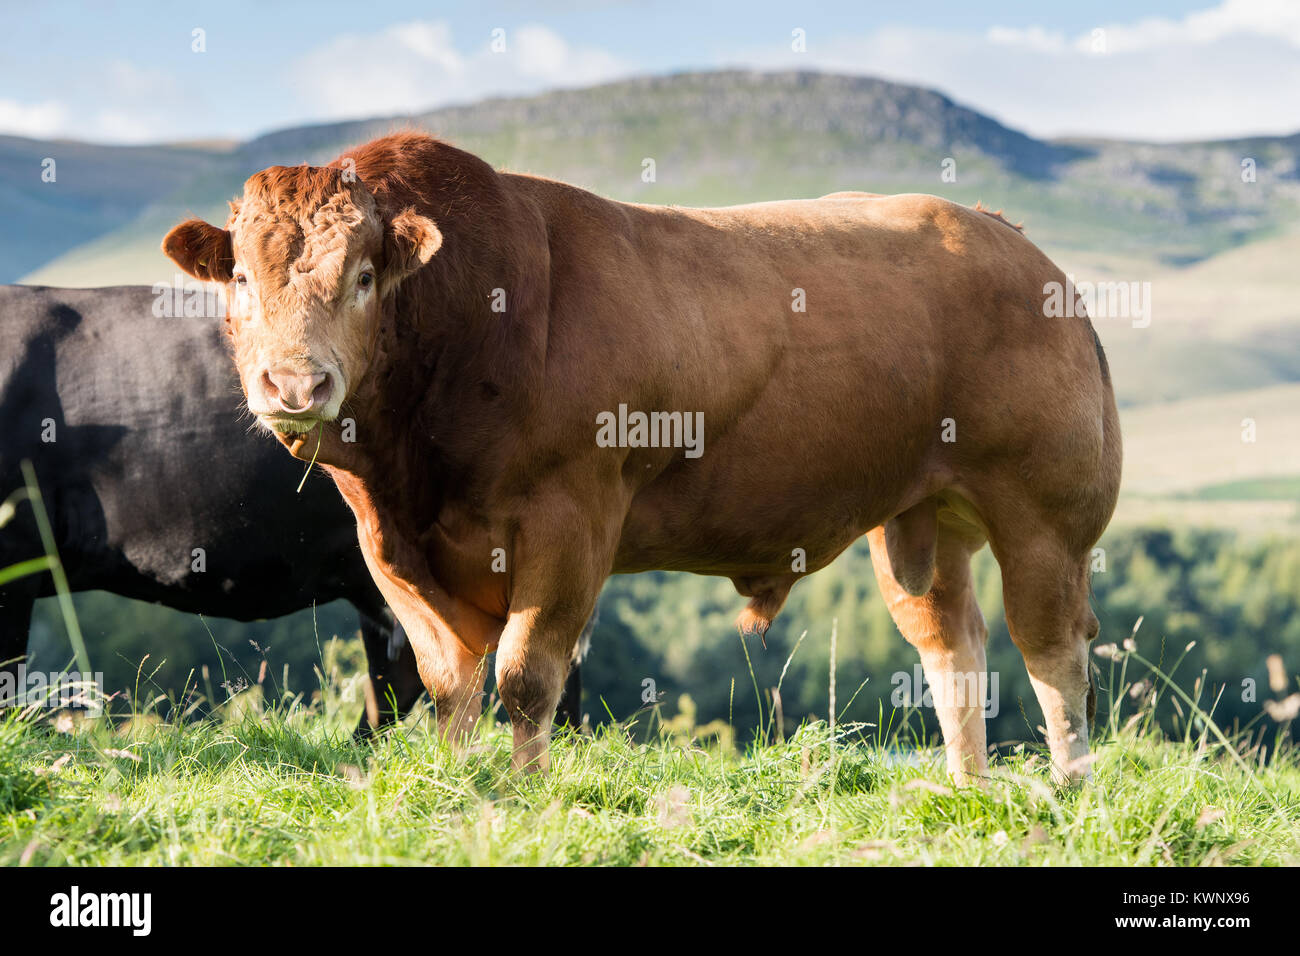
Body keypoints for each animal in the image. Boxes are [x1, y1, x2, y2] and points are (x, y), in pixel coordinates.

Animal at [162, 131, 1121, 784]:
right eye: (241, 277)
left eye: (362, 277)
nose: (294, 384)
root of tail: (1006, 236)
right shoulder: (388, 543)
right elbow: (449, 682)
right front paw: (457, 785)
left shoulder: (570, 521)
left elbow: (526, 676)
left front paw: (525, 794)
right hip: (920, 517)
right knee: (952, 645)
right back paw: (967, 788)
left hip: (1047, 515)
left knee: (1051, 649)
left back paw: (1068, 788)